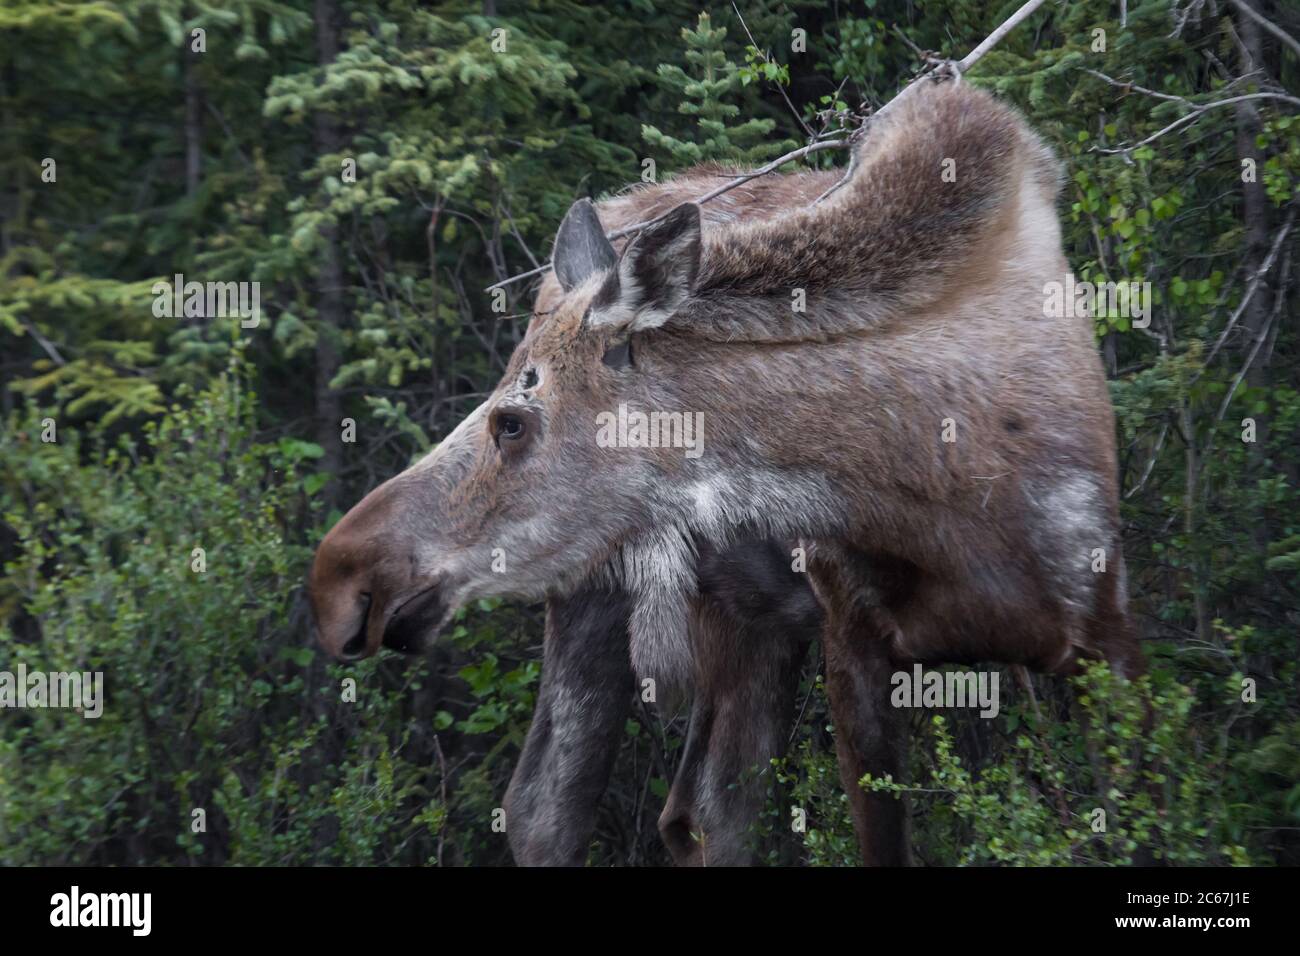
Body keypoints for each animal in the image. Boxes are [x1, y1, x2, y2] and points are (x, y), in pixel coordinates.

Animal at [310, 80, 1146, 865]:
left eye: (511, 420)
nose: (338, 580)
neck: (943, 493)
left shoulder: (1106, 639)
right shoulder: (852, 638)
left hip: (743, 616)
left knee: (692, 814)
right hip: (604, 595)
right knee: (560, 808)